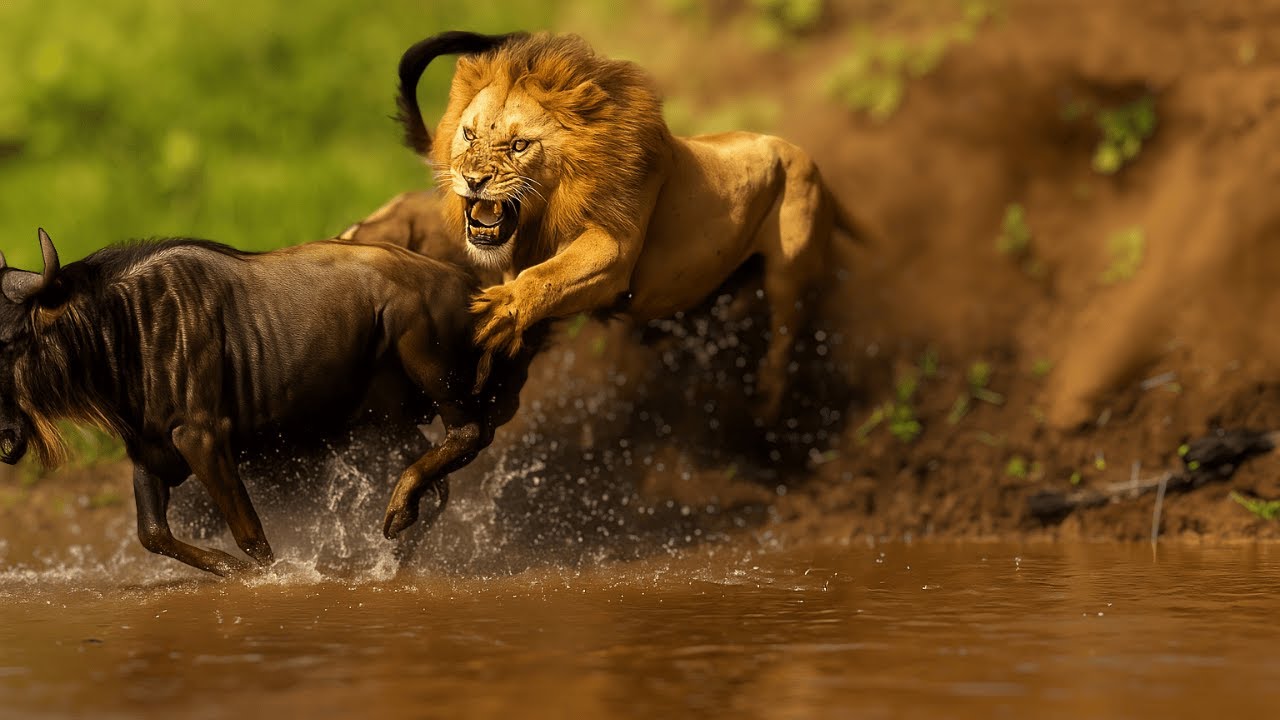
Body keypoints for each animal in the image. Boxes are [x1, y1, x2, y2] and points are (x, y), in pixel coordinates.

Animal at [379, 30, 865, 418]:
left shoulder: (614, 248)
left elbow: (549, 276)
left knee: (785, 337)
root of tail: (809, 161)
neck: (547, 208)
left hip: (790, 268)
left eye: (519, 145)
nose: (473, 180)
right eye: (469, 135)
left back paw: (767, 403)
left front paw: (502, 311)